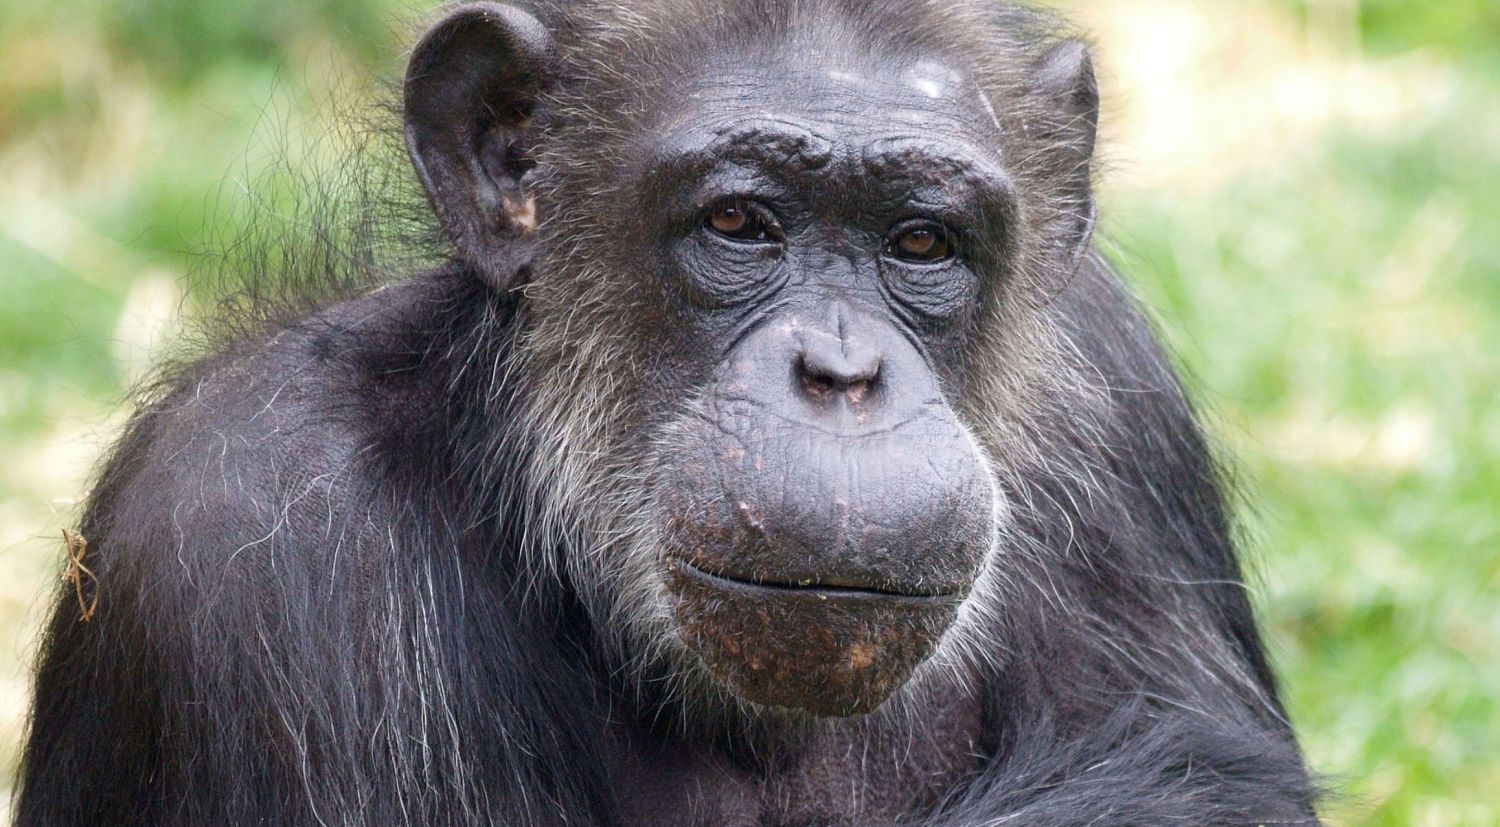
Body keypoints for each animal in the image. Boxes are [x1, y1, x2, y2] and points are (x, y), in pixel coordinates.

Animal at [17, 1, 1321, 824]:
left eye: (921, 241)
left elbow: (1204, 773)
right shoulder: (256, 528)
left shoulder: (1122, 395)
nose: (842, 371)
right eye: (740, 222)